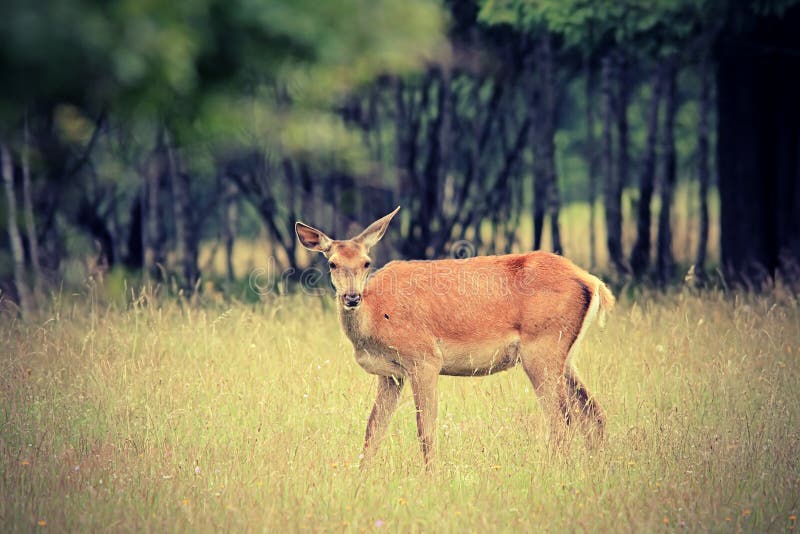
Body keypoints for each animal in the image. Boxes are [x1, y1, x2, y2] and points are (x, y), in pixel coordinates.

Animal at [295, 207, 614, 468]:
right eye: (332, 263)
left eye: (366, 262)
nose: (352, 297)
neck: (376, 317)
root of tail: (592, 282)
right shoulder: (391, 374)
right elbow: (373, 429)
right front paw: (363, 476)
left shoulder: (424, 359)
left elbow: (425, 428)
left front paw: (430, 477)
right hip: (564, 356)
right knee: (593, 414)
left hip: (542, 349)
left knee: (562, 419)